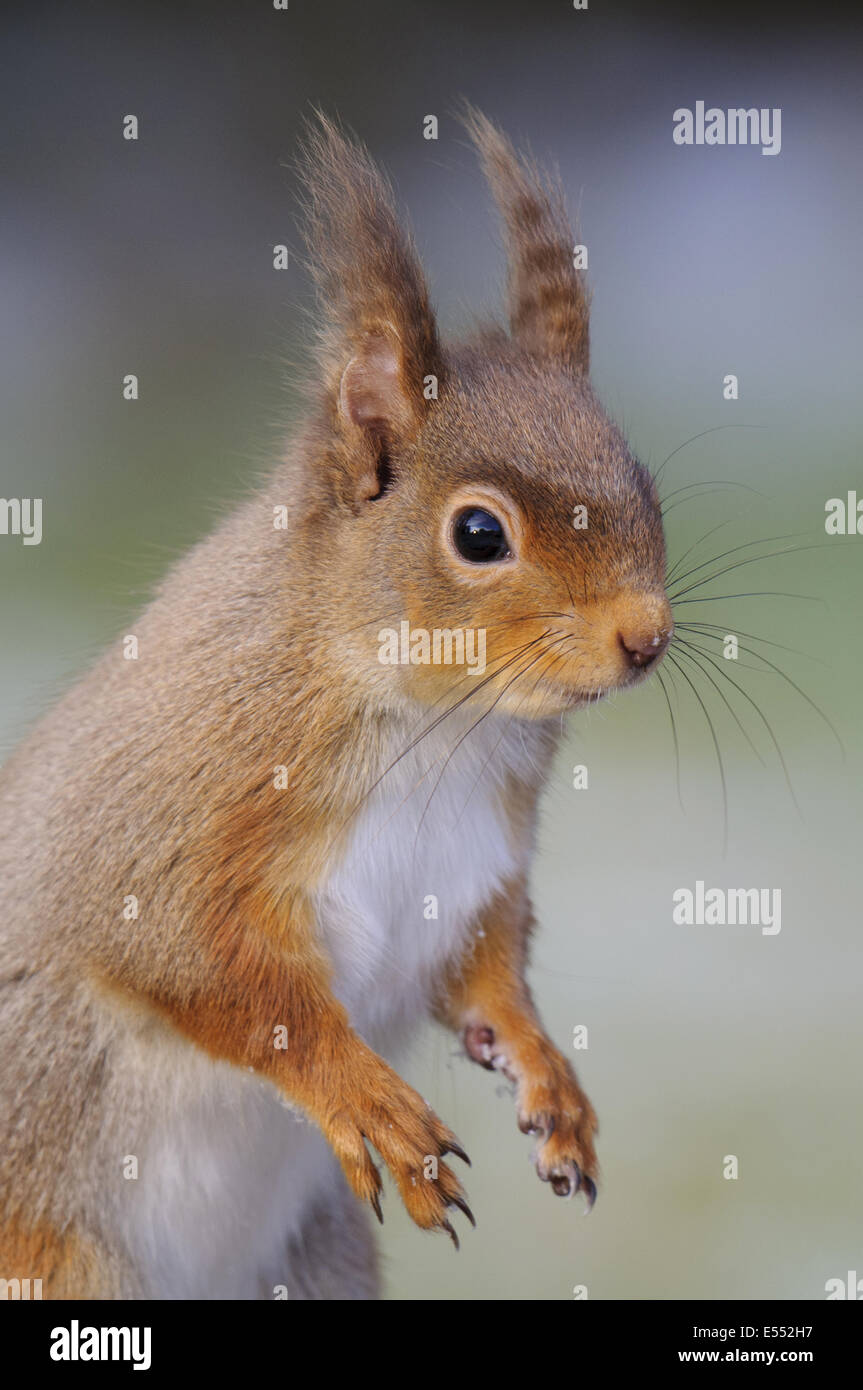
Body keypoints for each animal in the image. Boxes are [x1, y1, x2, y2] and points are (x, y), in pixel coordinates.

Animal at [0, 109, 672, 1300]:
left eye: (642, 481)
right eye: (479, 534)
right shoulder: (167, 819)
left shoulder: (476, 871)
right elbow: (216, 978)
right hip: (60, 1258)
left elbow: (485, 972)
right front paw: (366, 1101)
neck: (437, 726)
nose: (646, 637)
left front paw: (544, 1076)